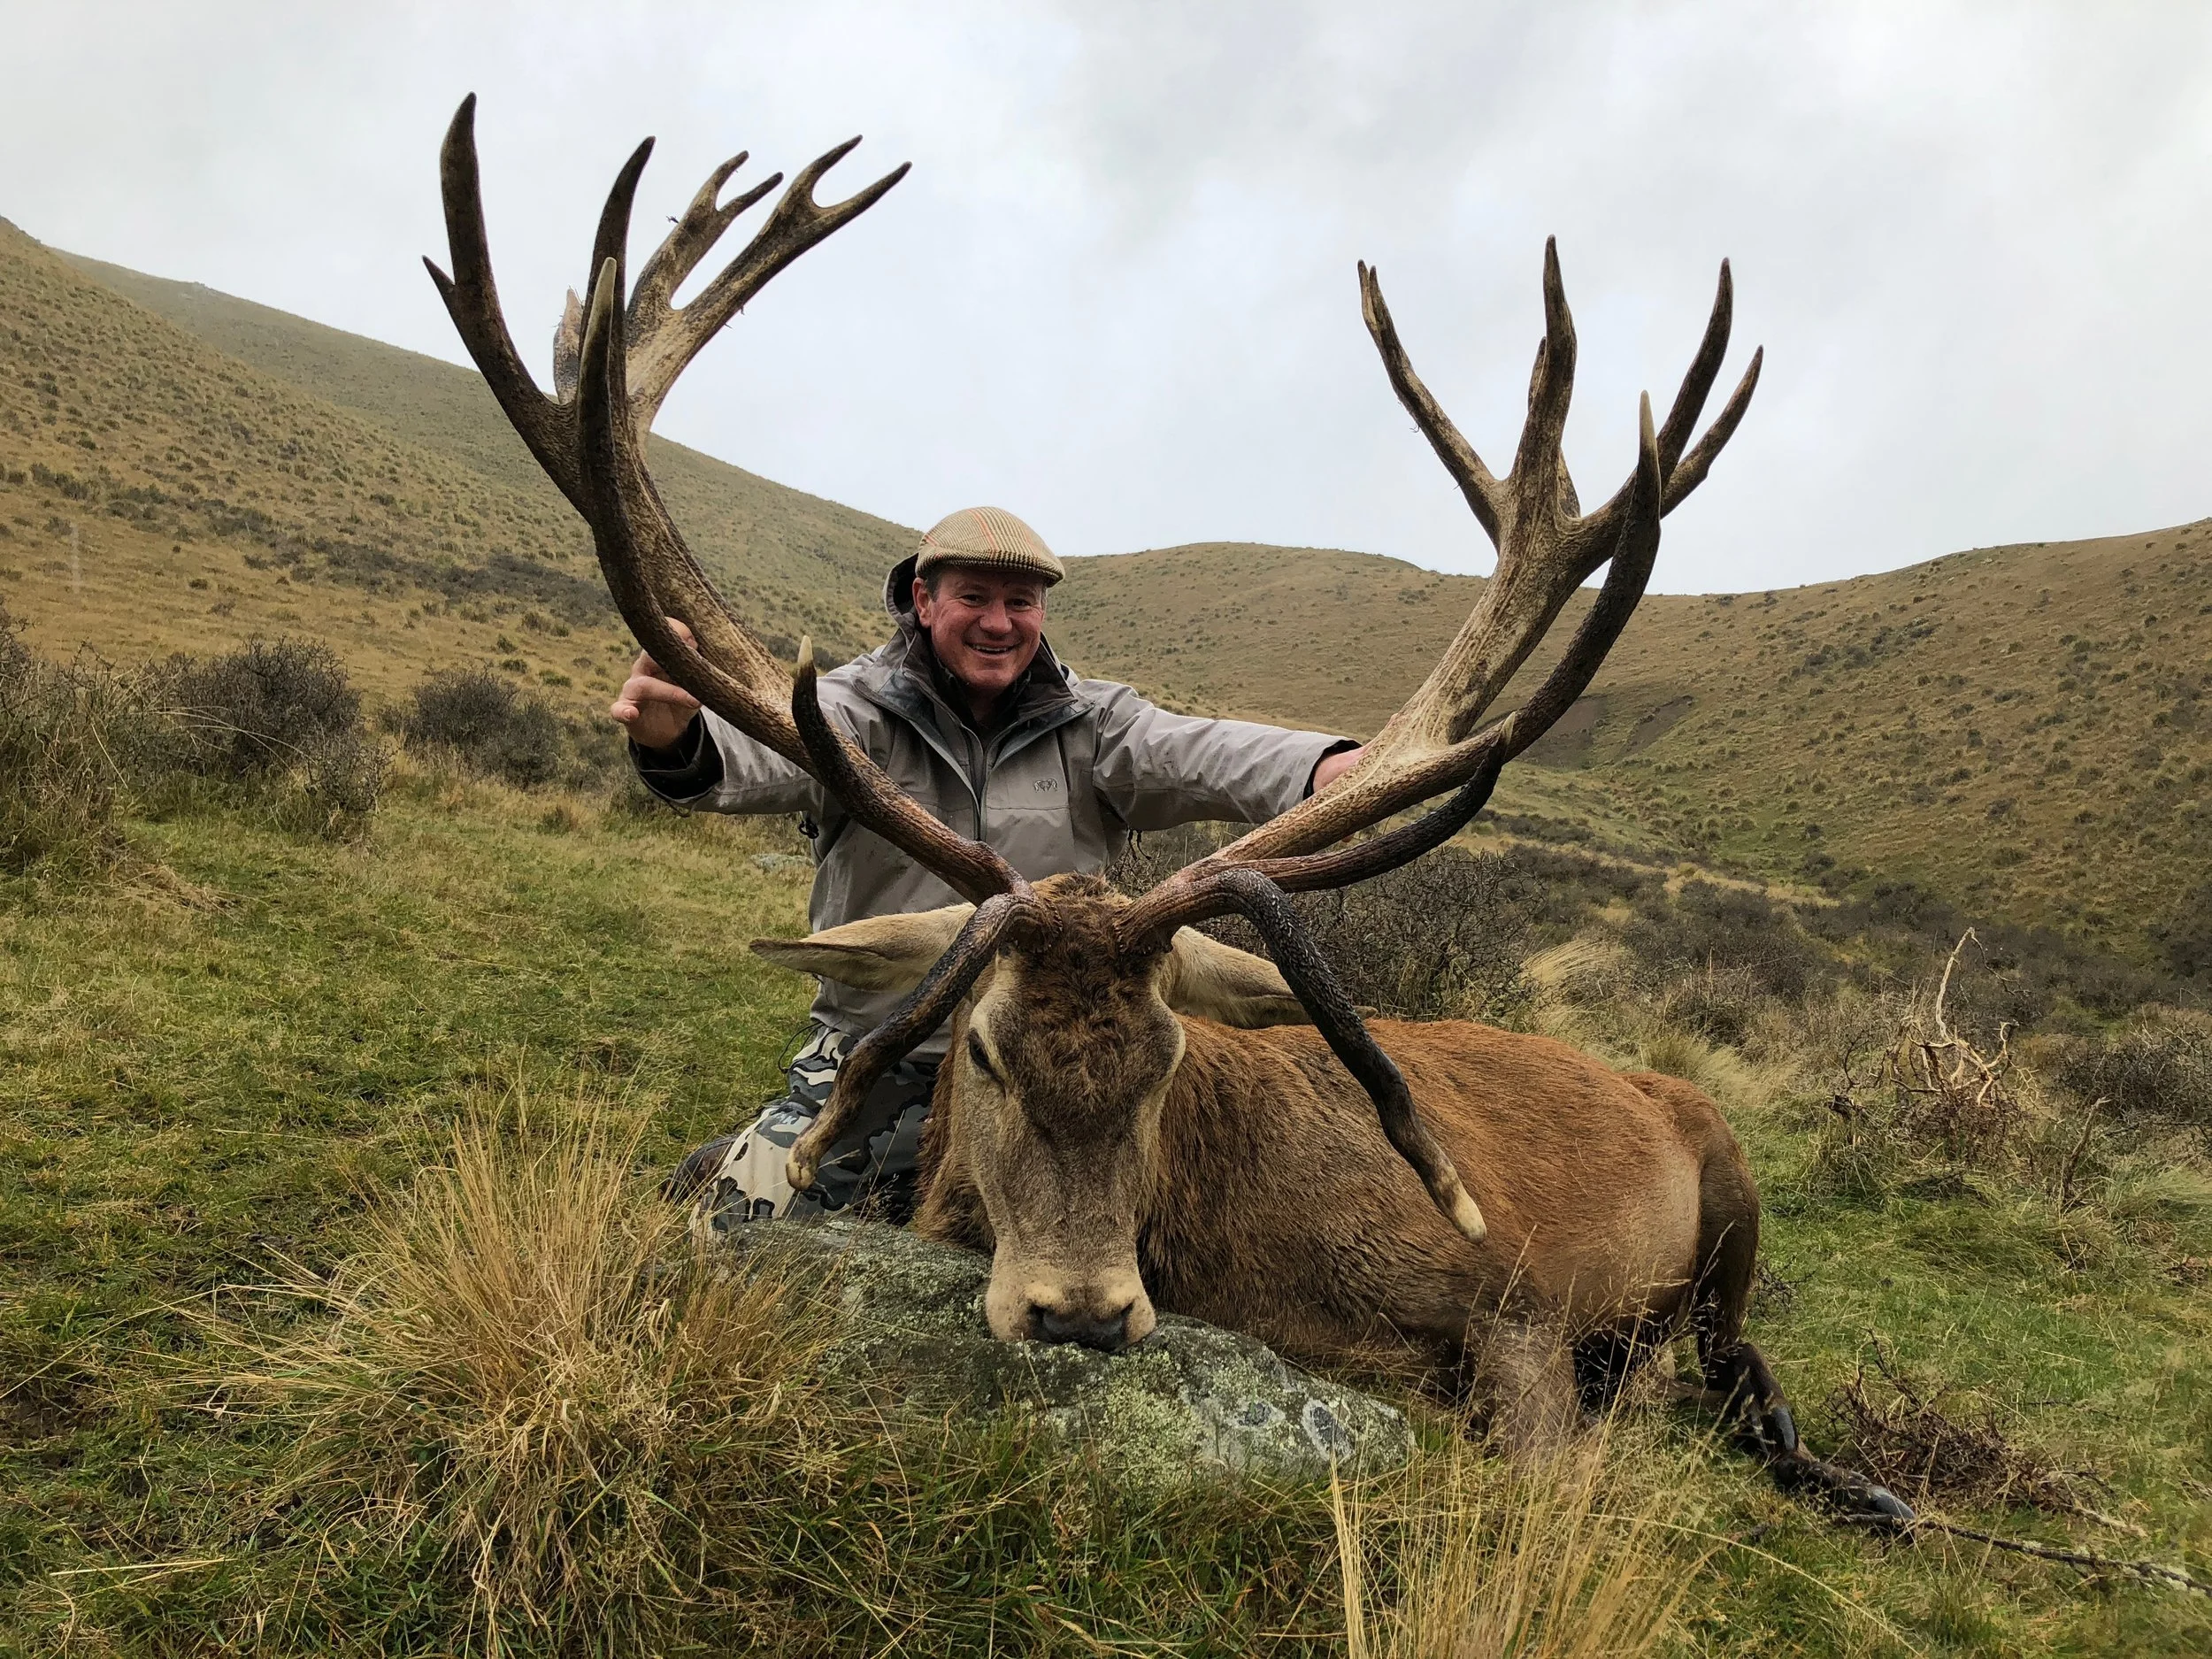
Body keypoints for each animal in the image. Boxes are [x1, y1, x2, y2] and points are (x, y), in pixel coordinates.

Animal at [426, 96, 1910, 1521]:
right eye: (982, 1050)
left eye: (1168, 1057)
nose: (1078, 1312)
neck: (1230, 1241)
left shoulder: (1519, 1295)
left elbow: (1546, 1461)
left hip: (1734, 1190)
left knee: (1728, 1353)